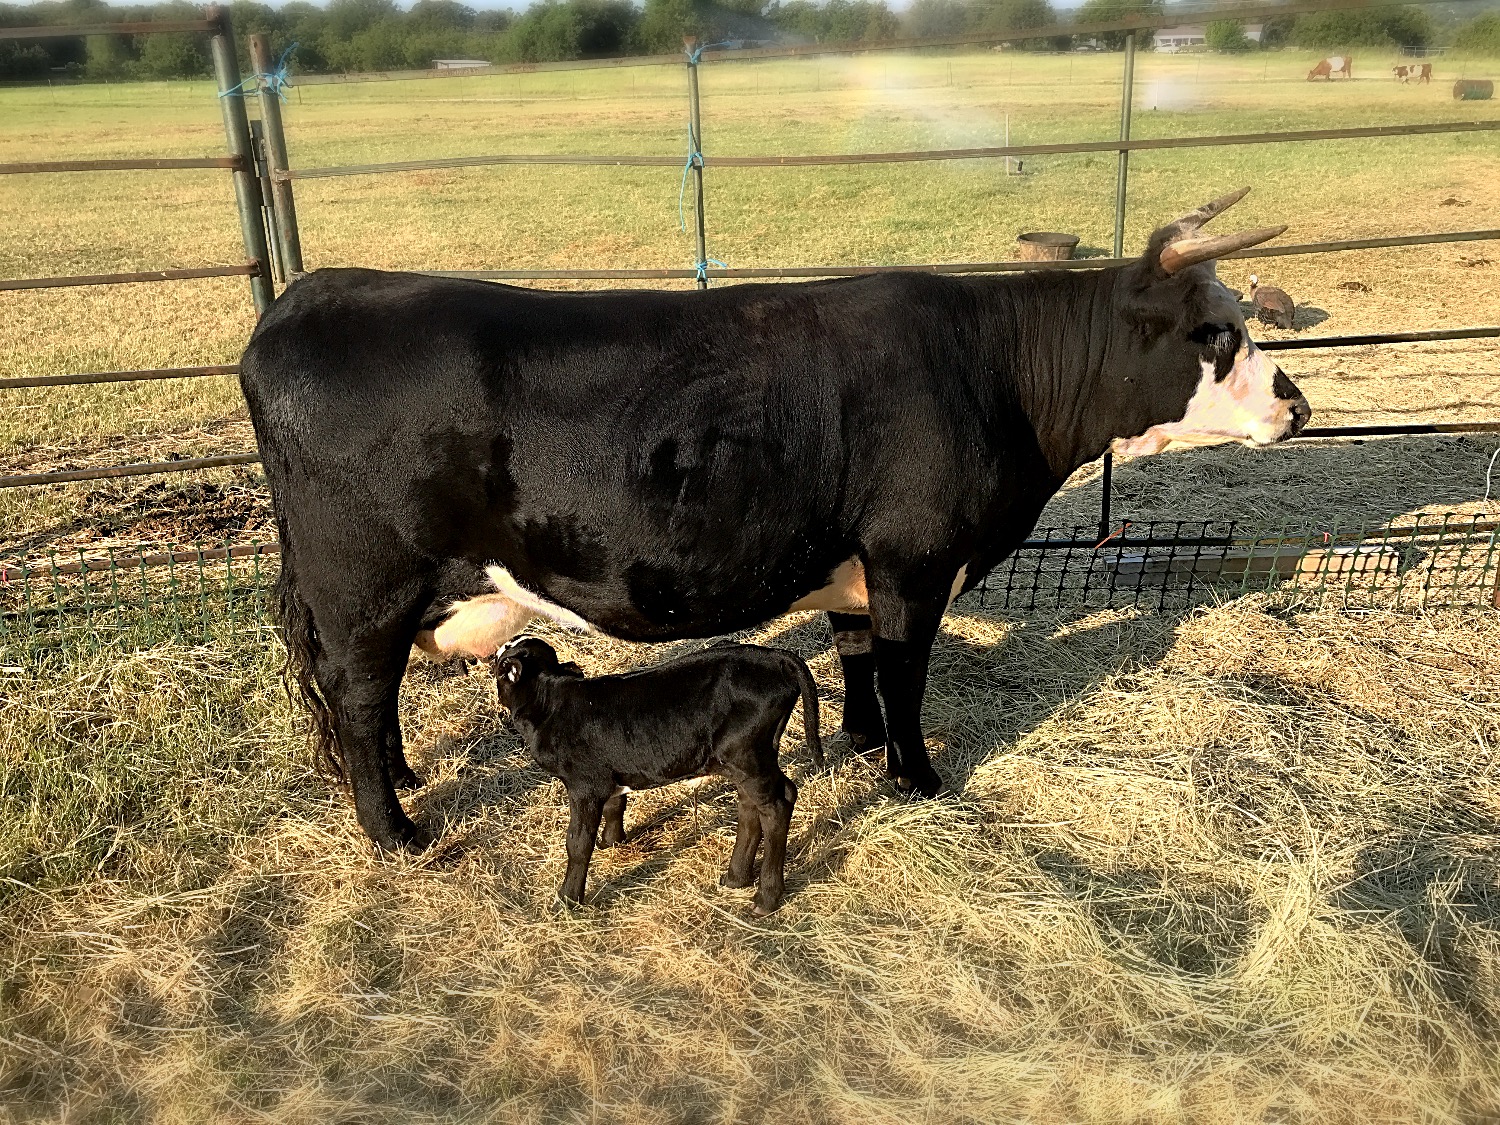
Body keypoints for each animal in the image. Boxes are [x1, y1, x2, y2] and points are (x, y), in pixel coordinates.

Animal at [238, 186, 1311, 854]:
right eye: (1215, 331)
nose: (1298, 408)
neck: (994, 365)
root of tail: (306, 296)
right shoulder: (915, 560)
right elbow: (907, 671)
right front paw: (917, 776)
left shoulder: (854, 565)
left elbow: (859, 657)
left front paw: (868, 745)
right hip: (363, 580)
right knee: (359, 691)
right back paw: (396, 829)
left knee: (367, 697)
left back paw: (407, 779)